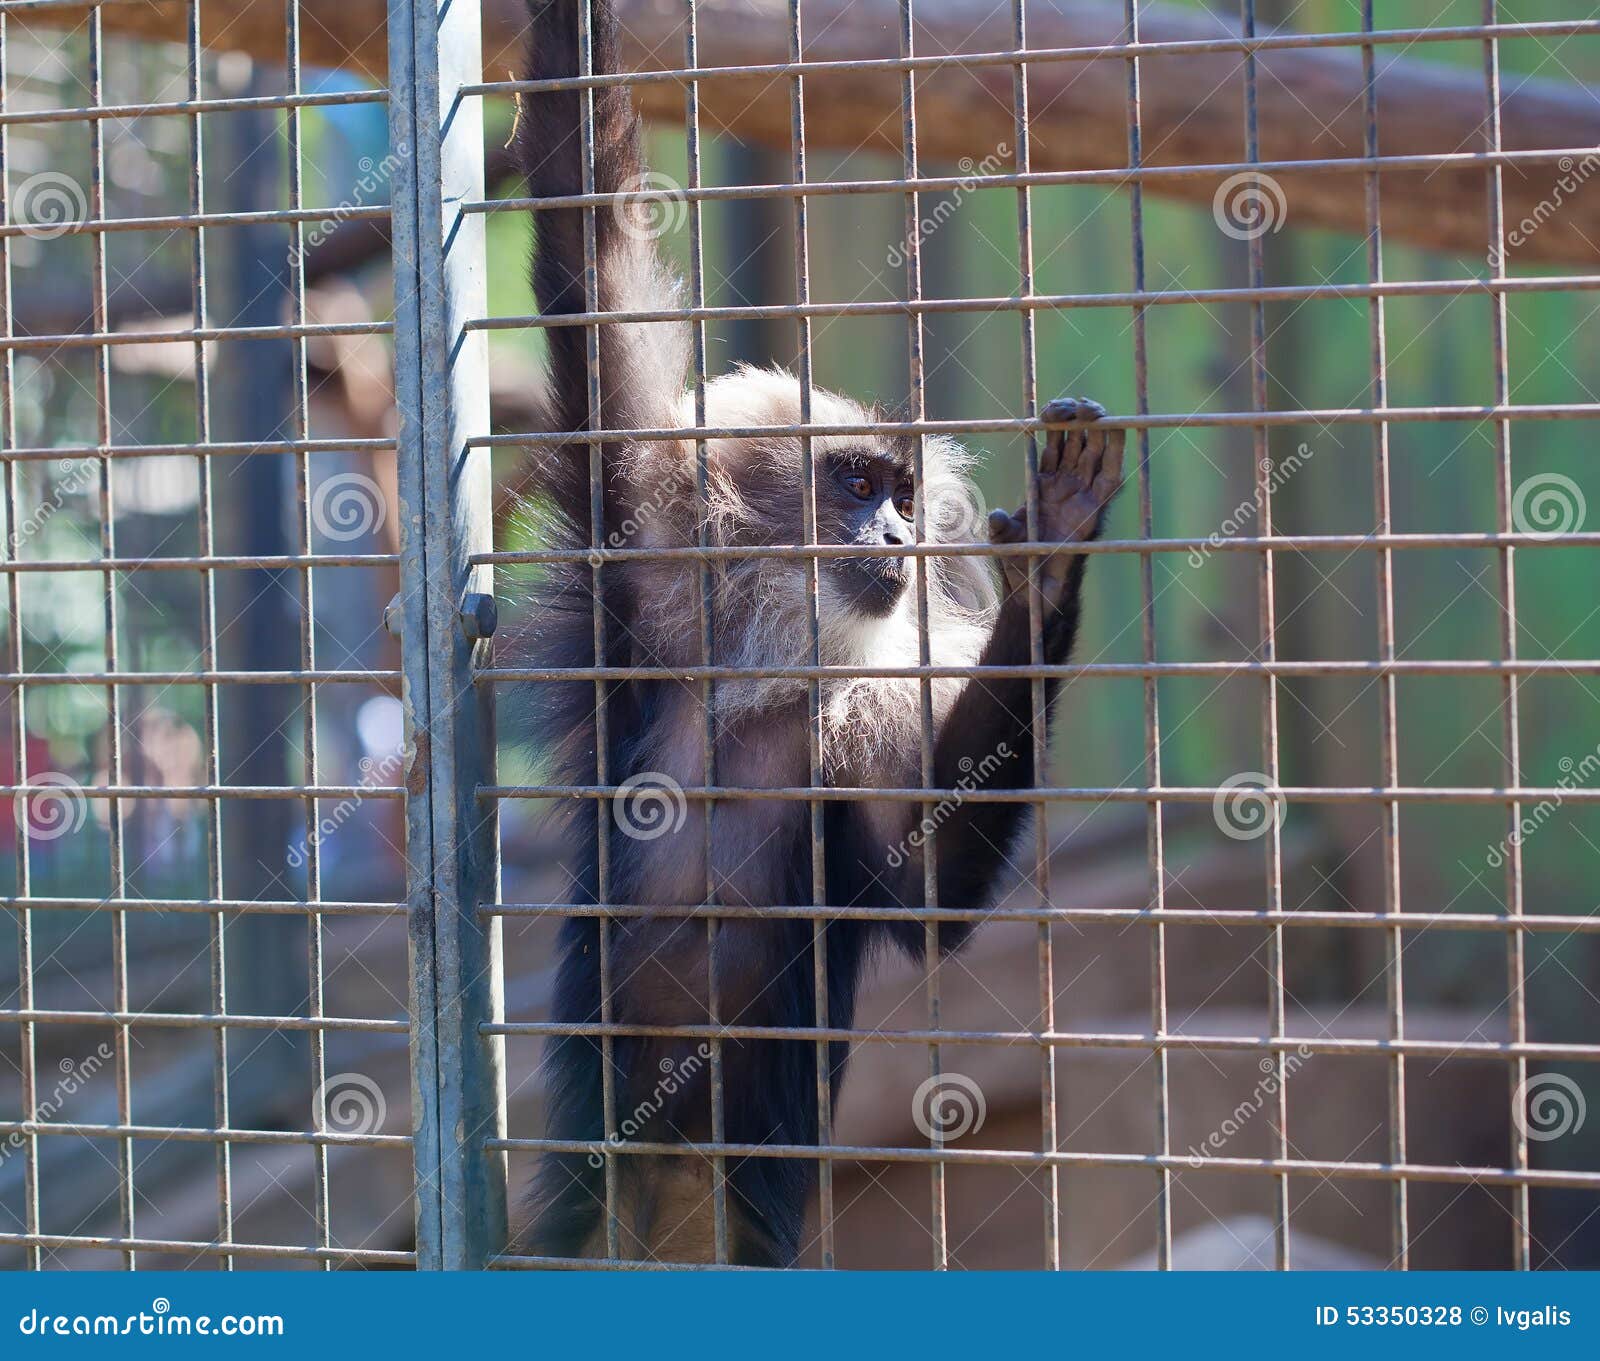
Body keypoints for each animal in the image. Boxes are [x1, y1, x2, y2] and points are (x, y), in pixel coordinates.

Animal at [512, 0, 1123, 1267]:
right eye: (853, 484)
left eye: (900, 491)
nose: (893, 528)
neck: (766, 673)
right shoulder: (633, 575)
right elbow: (589, 257)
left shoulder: (864, 713)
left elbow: (930, 884)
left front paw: (1048, 560)